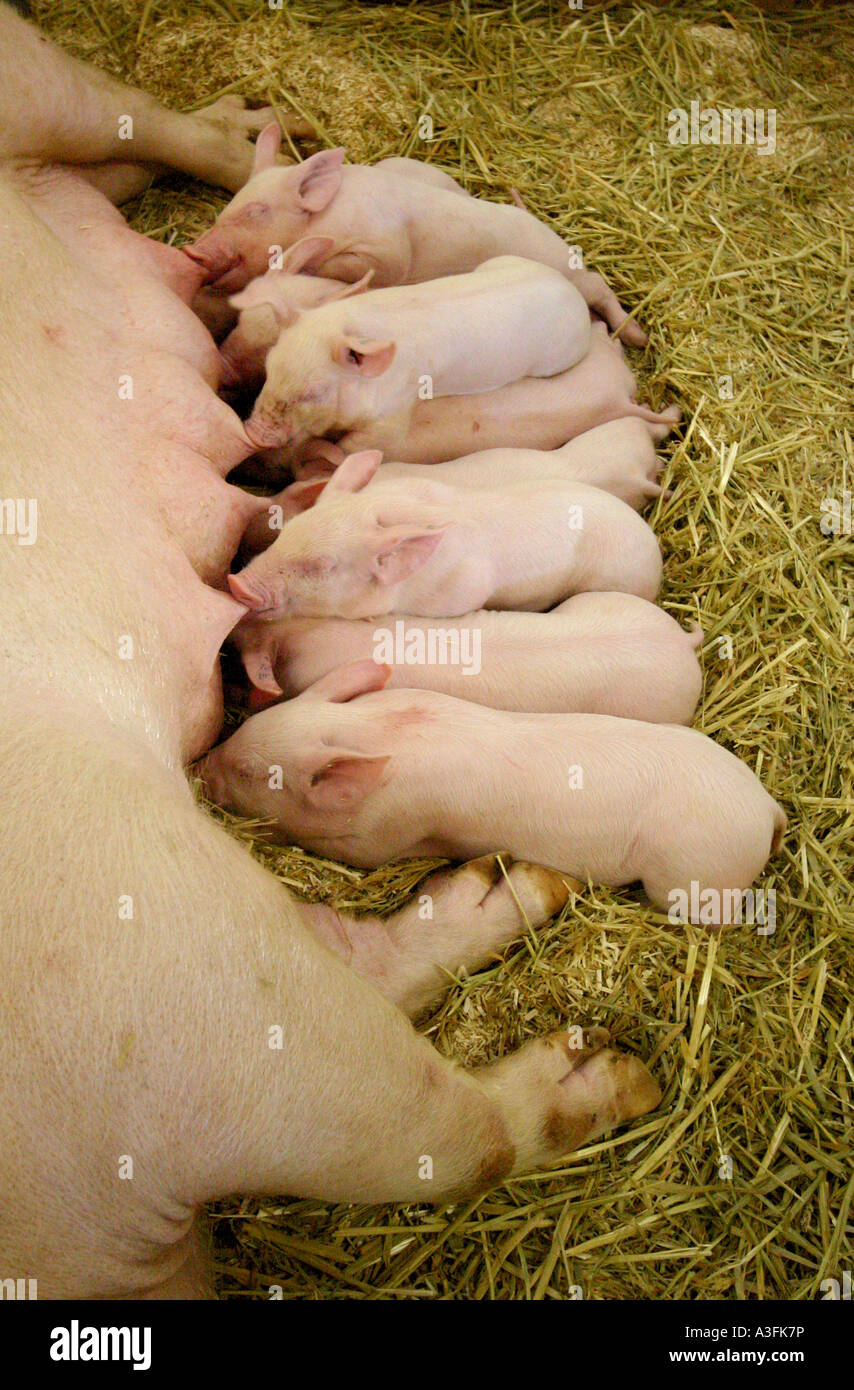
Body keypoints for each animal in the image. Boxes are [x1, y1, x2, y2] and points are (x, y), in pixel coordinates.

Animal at [186, 121, 646, 344]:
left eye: (257, 211)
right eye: (227, 209)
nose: (196, 250)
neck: (329, 216)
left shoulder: (386, 249)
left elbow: (359, 265)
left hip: (568, 270)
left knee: (599, 284)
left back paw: (635, 336)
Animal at [197, 660, 786, 918]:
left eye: (251, 772)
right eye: (244, 731)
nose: (200, 767)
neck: (380, 734)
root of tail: (766, 811)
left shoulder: (384, 838)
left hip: (693, 874)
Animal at [243, 255, 591, 450]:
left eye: (313, 394)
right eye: (269, 368)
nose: (253, 433)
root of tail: (570, 290)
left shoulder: (396, 408)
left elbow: (363, 445)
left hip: (559, 355)